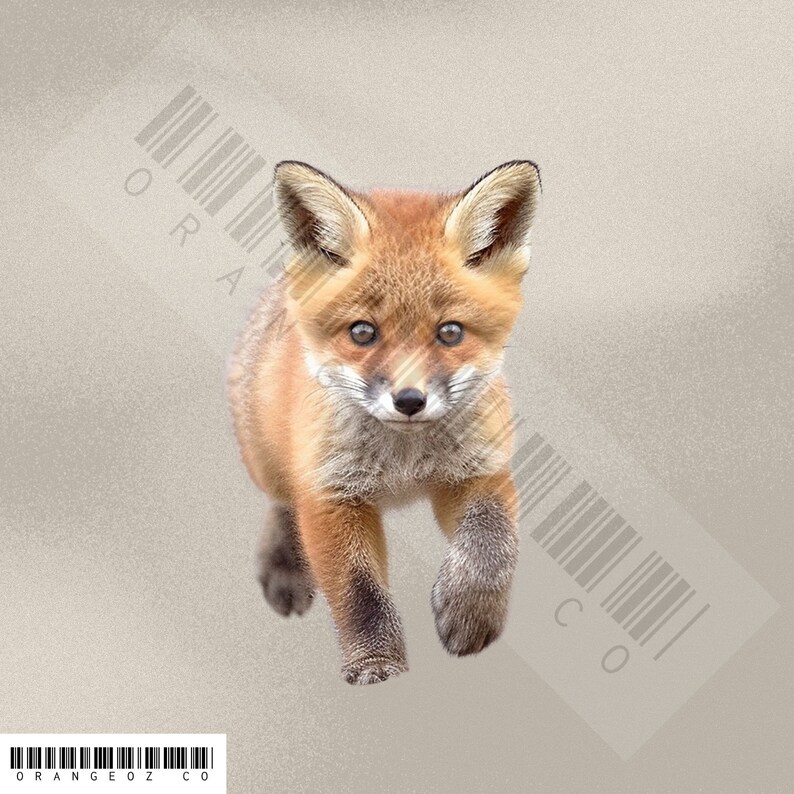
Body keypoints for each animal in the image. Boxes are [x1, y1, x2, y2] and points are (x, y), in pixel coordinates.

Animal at [227, 159, 542, 685]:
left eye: (449, 332)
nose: (409, 400)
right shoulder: (332, 494)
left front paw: (470, 614)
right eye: (363, 332)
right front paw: (377, 664)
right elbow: (360, 594)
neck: (403, 464)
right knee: (283, 500)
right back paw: (285, 565)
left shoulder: (481, 472)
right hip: (266, 458)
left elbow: (491, 546)